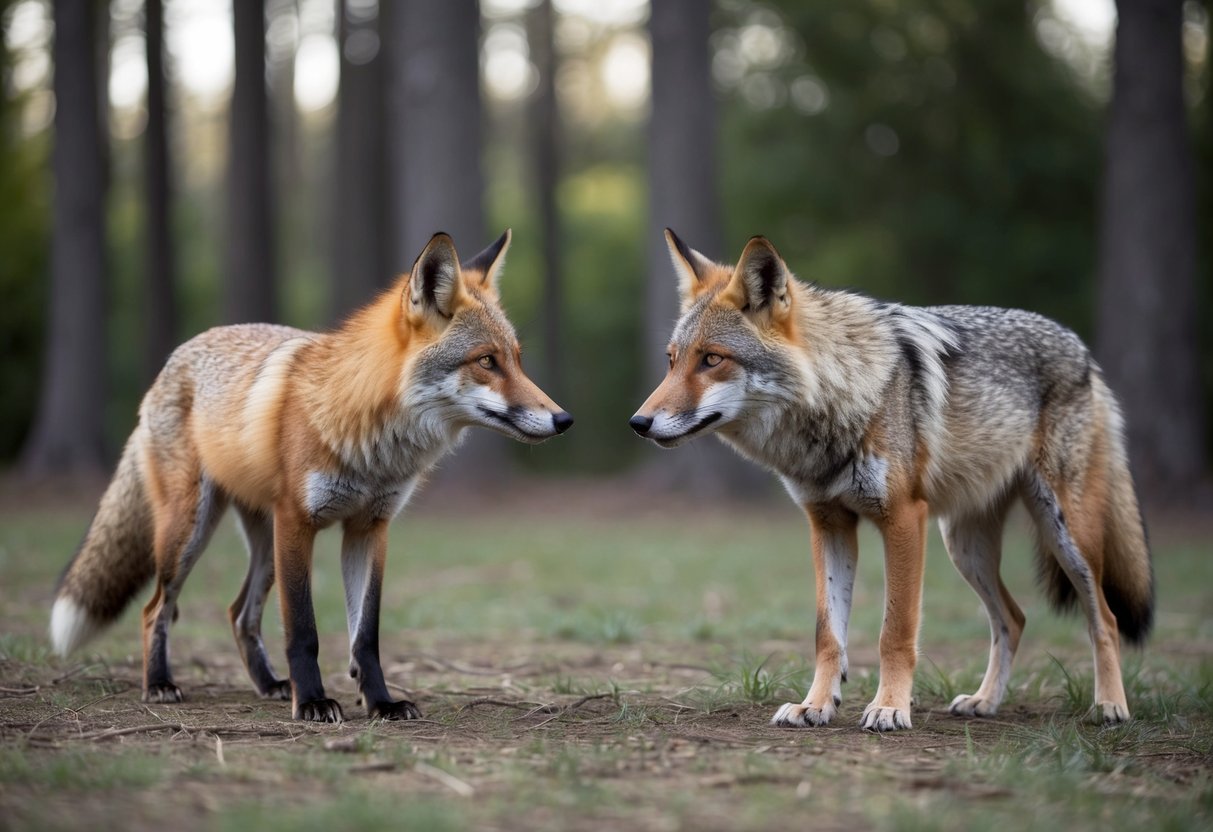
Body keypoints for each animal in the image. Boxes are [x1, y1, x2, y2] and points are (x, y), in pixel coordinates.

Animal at [50, 230, 573, 723]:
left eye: (517, 360)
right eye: (486, 361)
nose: (564, 419)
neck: (370, 441)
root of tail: (175, 358)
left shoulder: (369, 528)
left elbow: (366, 637)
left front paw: (381, 702)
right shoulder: (298, 522)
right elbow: (304, 631)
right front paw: (315, 703)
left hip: (263, 547)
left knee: (238, 614)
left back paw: (269, 685)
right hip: (191, 533)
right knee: (155, 609)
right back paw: (160, 683)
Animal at [631, 229, 1152, 731]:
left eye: (711, 359)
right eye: (672, 360)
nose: (638, 423)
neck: (840, 400)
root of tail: (1082, 350)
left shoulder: (903, 519)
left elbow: (894, 632)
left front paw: (889, 708)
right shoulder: (829, 525)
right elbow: (828, 634)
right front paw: (815, 705)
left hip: (1065, 534)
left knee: (1104, 618)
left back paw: (1110, 706)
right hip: (965, 549)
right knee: (1015, 617)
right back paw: (985, 701)